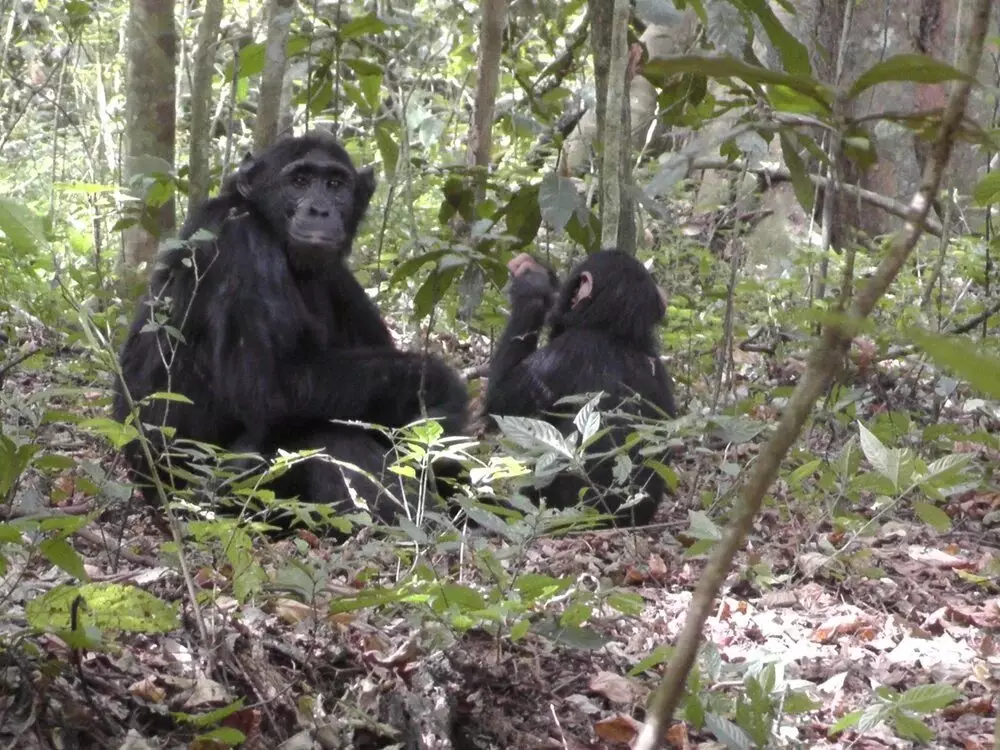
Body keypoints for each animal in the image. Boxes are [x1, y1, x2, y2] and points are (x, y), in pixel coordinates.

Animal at [113, 129, 468, 528]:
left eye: (335, 184)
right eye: (299, 181)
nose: (319, 209)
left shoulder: (339, 278)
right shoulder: (242, 247)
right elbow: (272, 387)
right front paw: (439, 381)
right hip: (209, 503)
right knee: (326, 436)